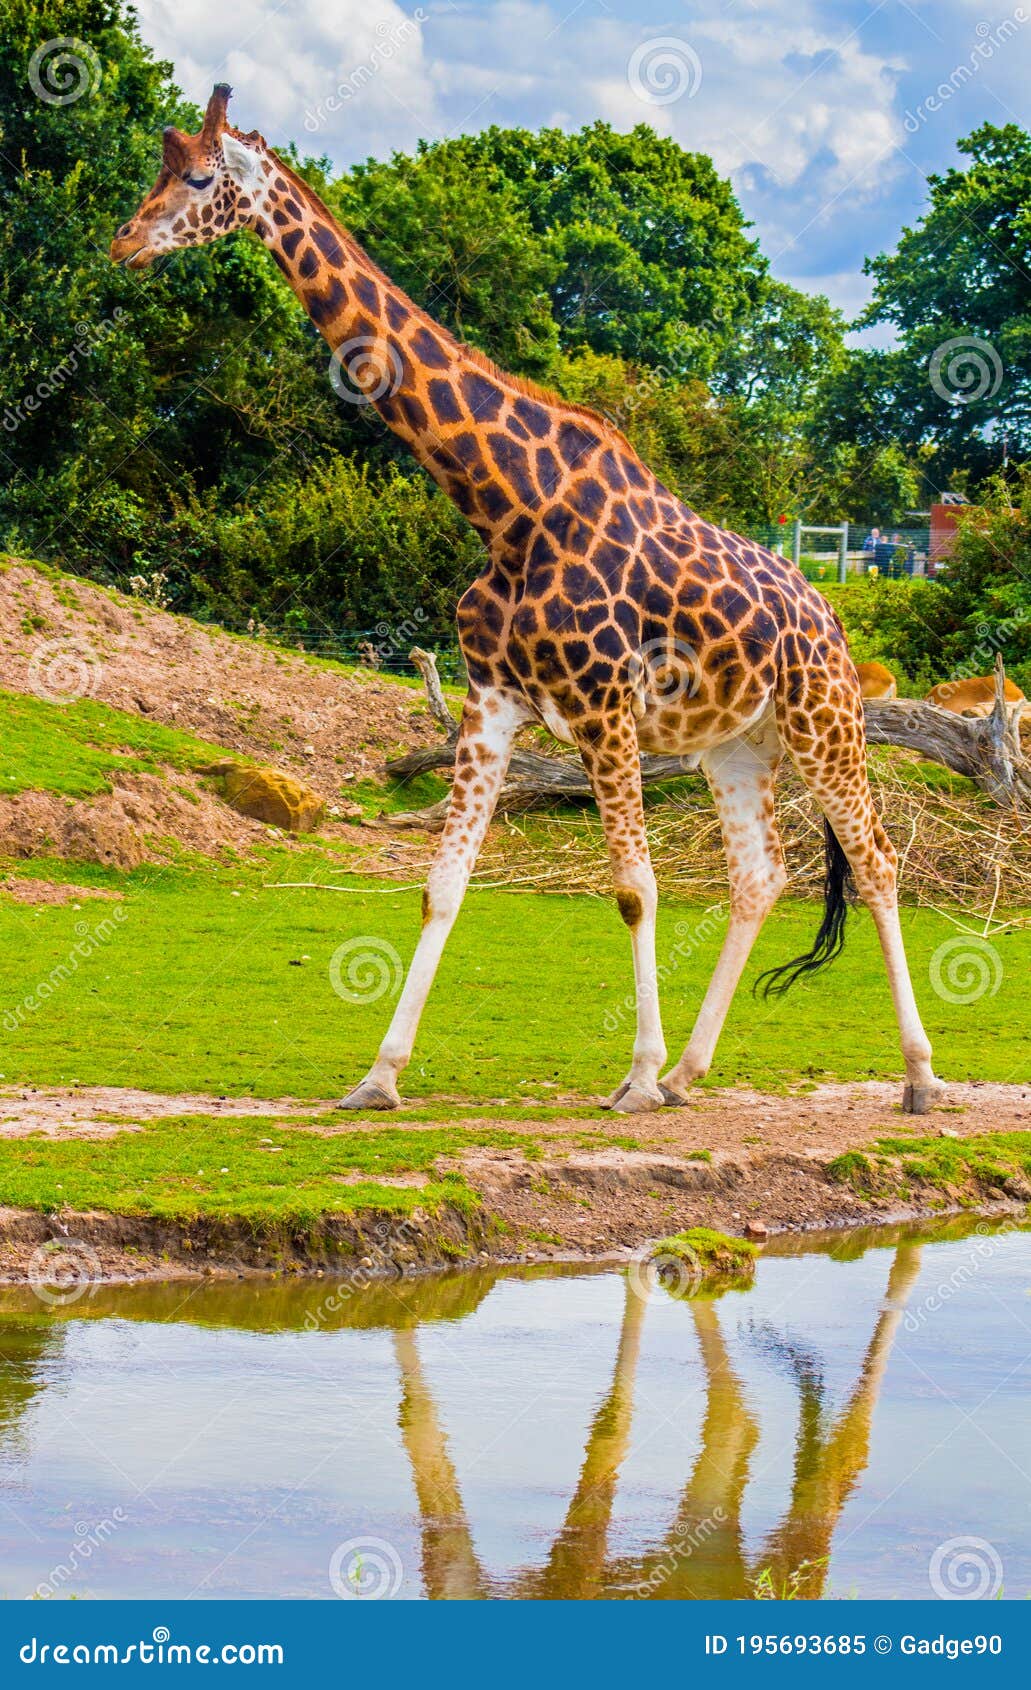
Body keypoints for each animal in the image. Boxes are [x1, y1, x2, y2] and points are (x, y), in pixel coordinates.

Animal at [111, 86, 944, 1116]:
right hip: (736, 742)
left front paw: (632, 1078)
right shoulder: (491, 698)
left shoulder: (603, 707)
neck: (506, 509)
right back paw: (691, 1070)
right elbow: (443, 881)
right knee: (760, 875)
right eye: (157, 171)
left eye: (196, 178)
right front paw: (377, 1077)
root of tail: (830, 616)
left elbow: (633, 887)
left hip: (823, 720)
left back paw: (914, 1075)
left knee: (874, 860)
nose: (125, 242)